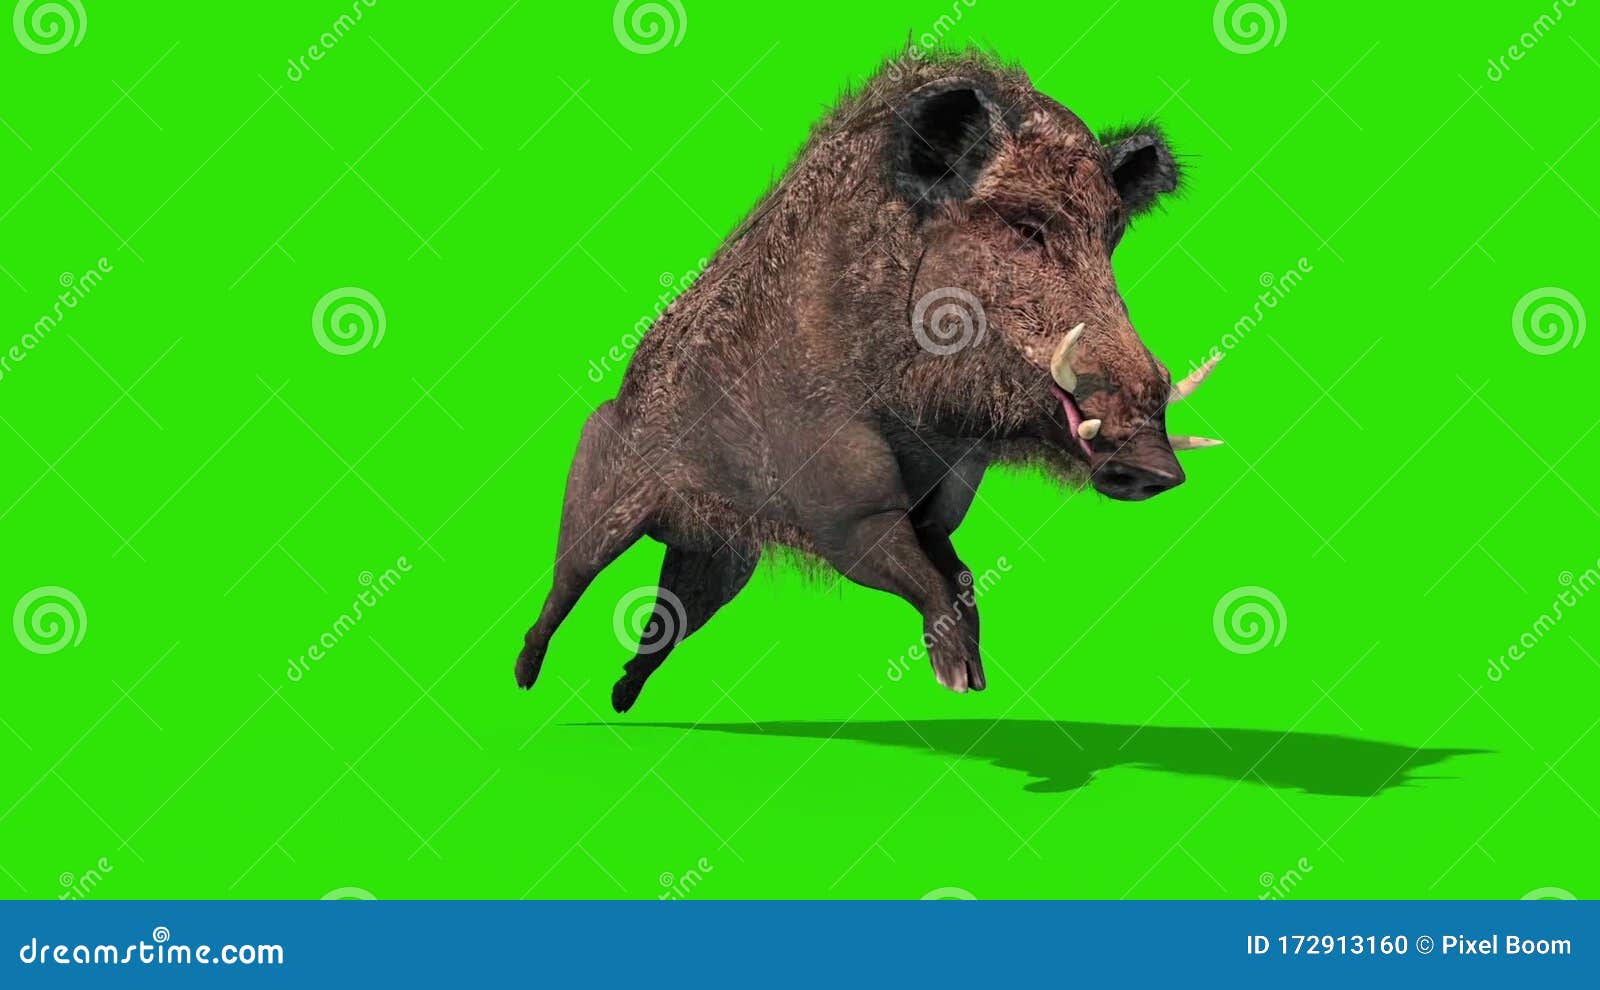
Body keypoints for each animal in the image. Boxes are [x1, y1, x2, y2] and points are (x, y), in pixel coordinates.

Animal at [514, 49, 1222, 711]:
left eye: (1111, 239)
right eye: (1027, 228)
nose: (1156, 468)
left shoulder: (939, 506)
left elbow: (959, 574)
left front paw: (977, 681)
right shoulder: (843, 510)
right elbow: (919, 572)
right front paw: (957, 681)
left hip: (723, 555)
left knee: (674, 613)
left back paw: (621, 698)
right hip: (600, 495)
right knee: (566, 582)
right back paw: (524, 678)